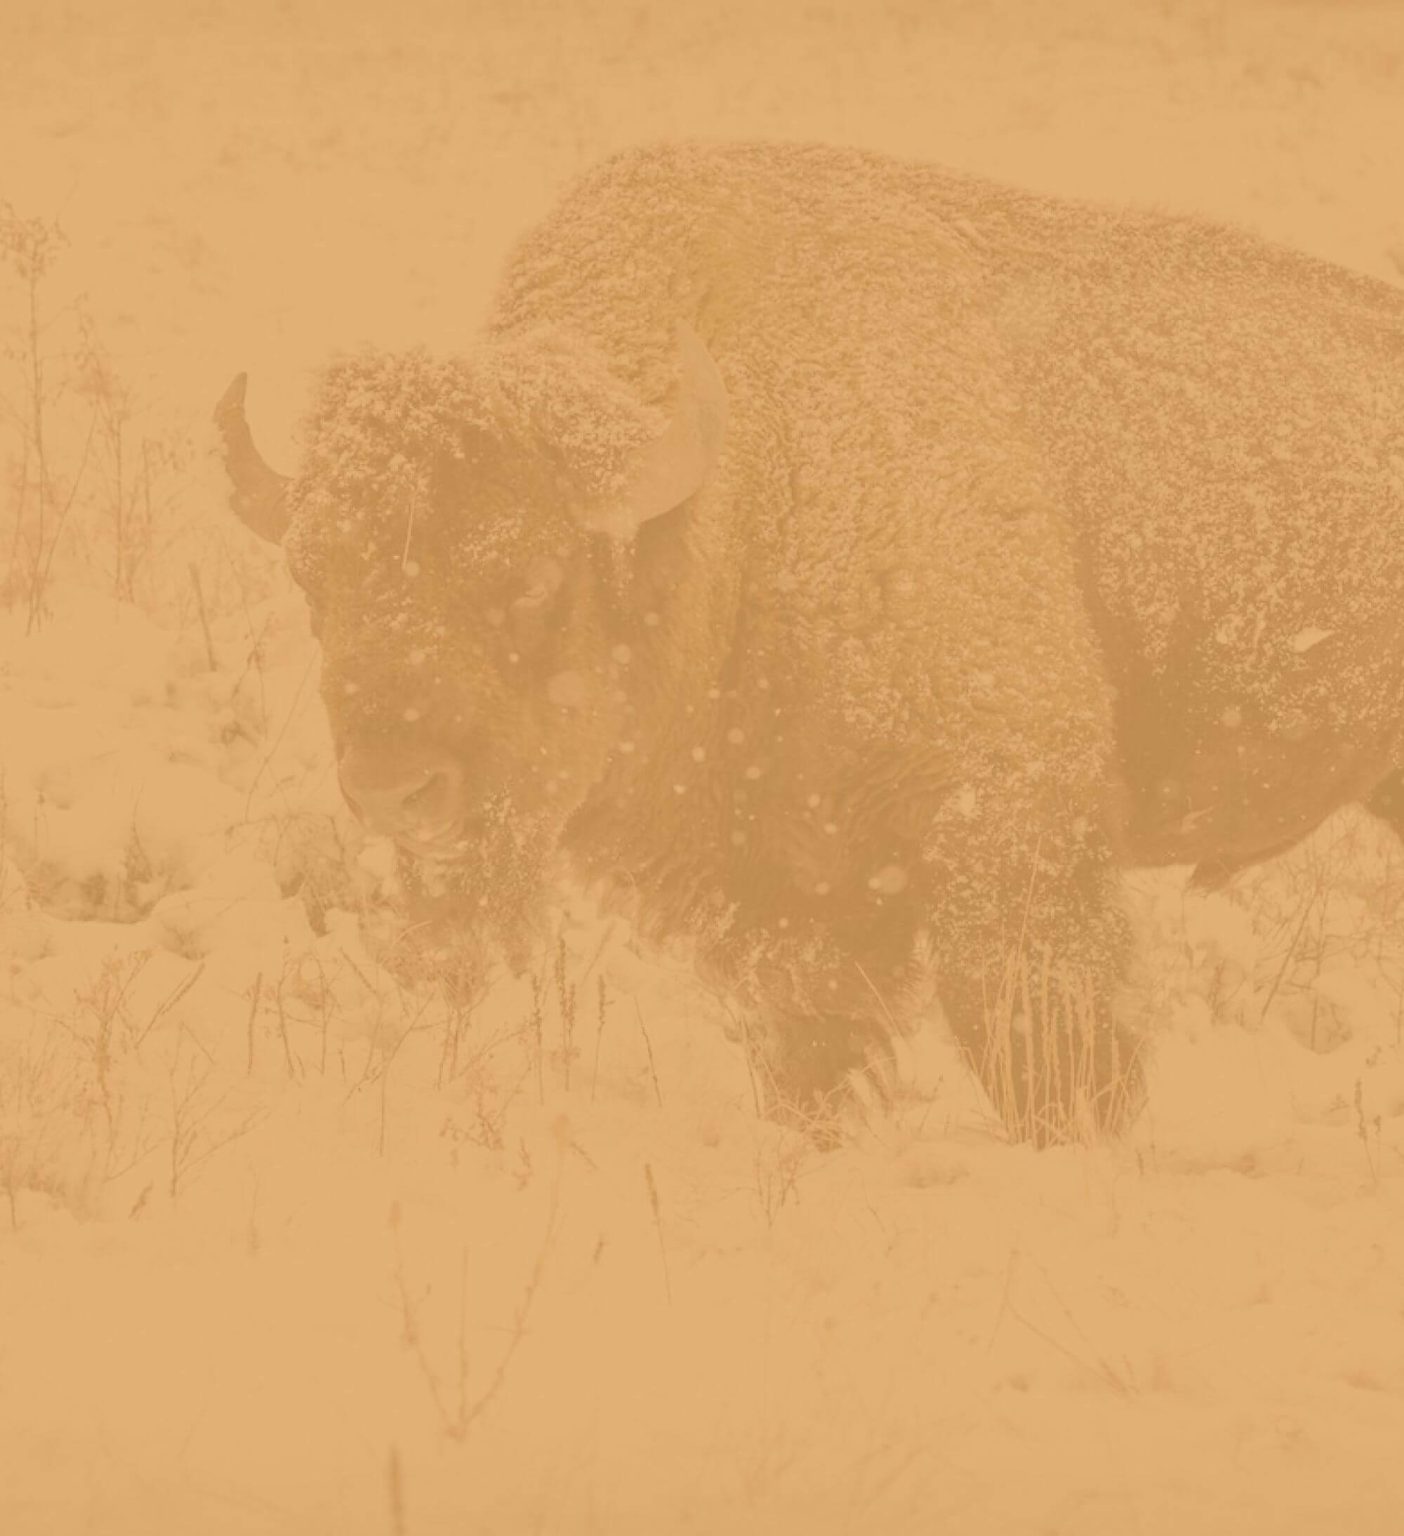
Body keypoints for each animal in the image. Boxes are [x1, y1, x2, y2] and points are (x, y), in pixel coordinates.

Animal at [215, 142, 1404, 1143]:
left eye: (529, 577)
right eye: (312, 582)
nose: (394, 790)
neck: (742, 486)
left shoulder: (1010, 840)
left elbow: (1040, 1044)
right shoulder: (792, 887)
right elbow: (809, 1041)